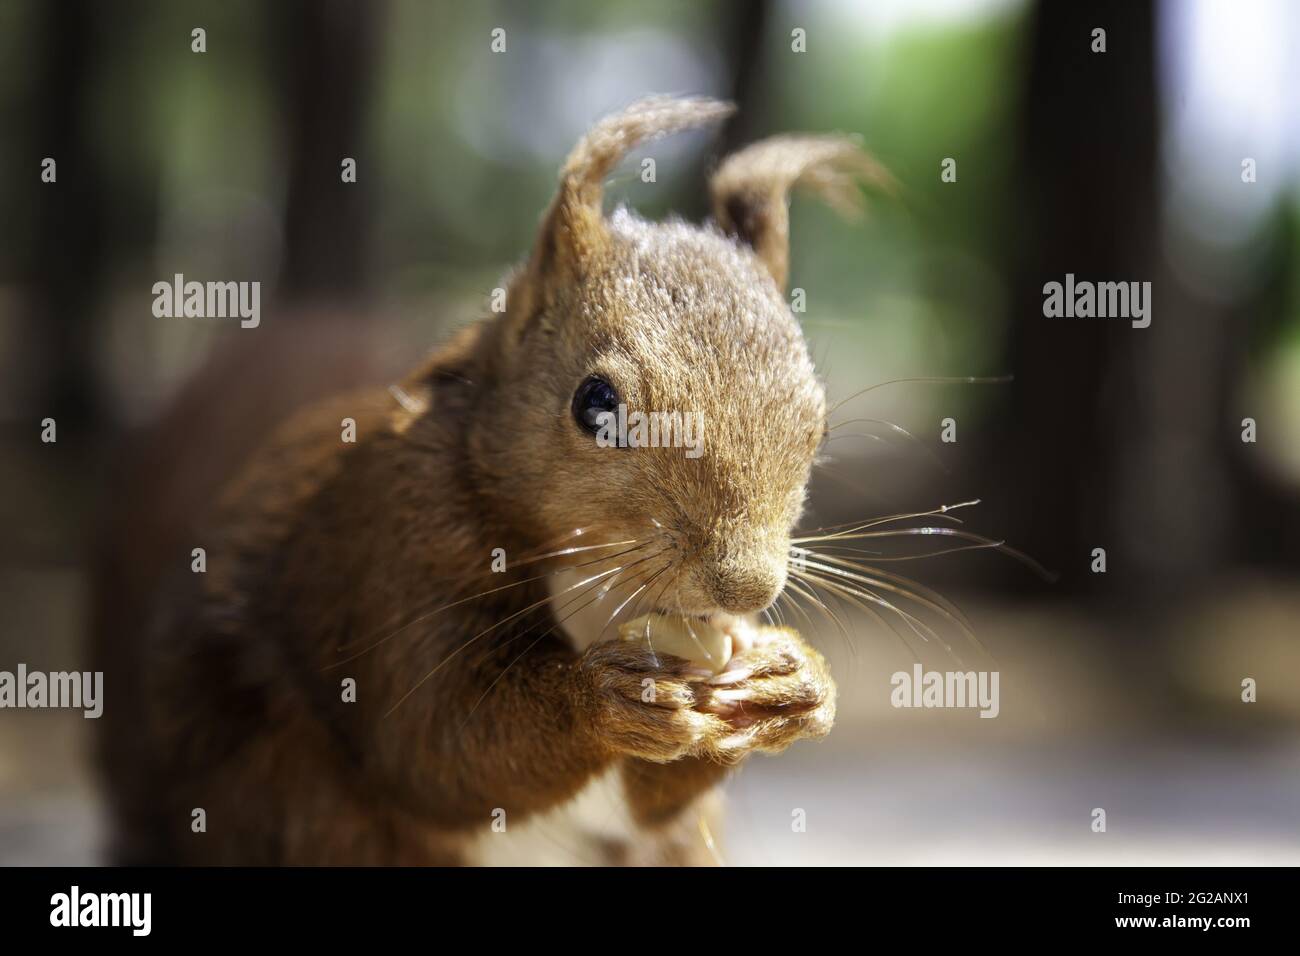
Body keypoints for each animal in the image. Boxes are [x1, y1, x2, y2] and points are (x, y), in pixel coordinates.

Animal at [94, 96, 891, 865]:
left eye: (819, 428)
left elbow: (647, 804)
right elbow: (438, 739)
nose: (746, 587)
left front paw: (798, 681)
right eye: (596, 405)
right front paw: (607, 696)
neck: (593, 582)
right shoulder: (397, 548)